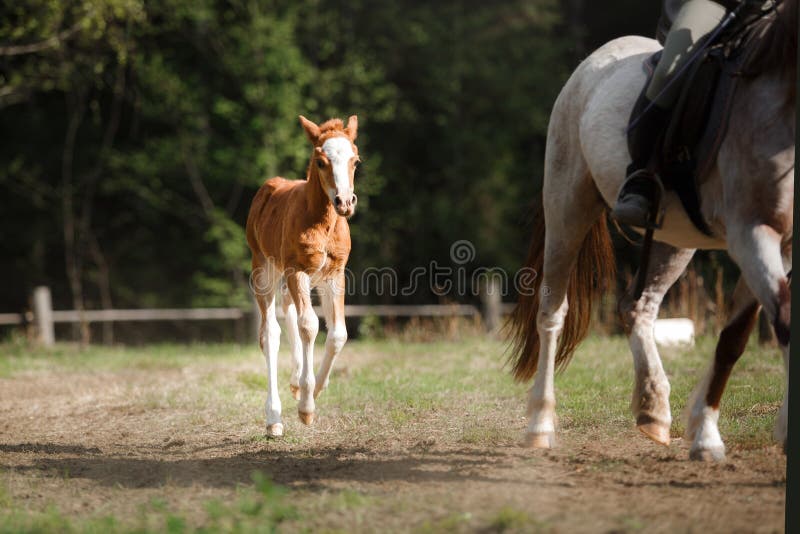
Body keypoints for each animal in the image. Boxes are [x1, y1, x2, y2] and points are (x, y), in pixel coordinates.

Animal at [246, 115, 359, 437]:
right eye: (321, 161)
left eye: (355, 161)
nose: (345, 202)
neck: (323, 222)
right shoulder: (297, 270)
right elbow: (310, 325)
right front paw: (306, 408)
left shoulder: (335, 274)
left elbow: (338, 333)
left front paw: (315, 388)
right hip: (264, 269)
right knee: (271, 332)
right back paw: (274, 418)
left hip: (307, 279)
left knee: (289, 309)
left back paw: (296, 382)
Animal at [509, 1, 796, 461]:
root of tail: (594, 60)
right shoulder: (752, 233)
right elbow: (780, 320)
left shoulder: (781, 243)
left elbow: (735, 337)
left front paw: (705, 433)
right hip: (567, 207)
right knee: (552, 312)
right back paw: (540, 423)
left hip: (671, 239)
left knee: (637, 307)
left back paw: (654, 411)